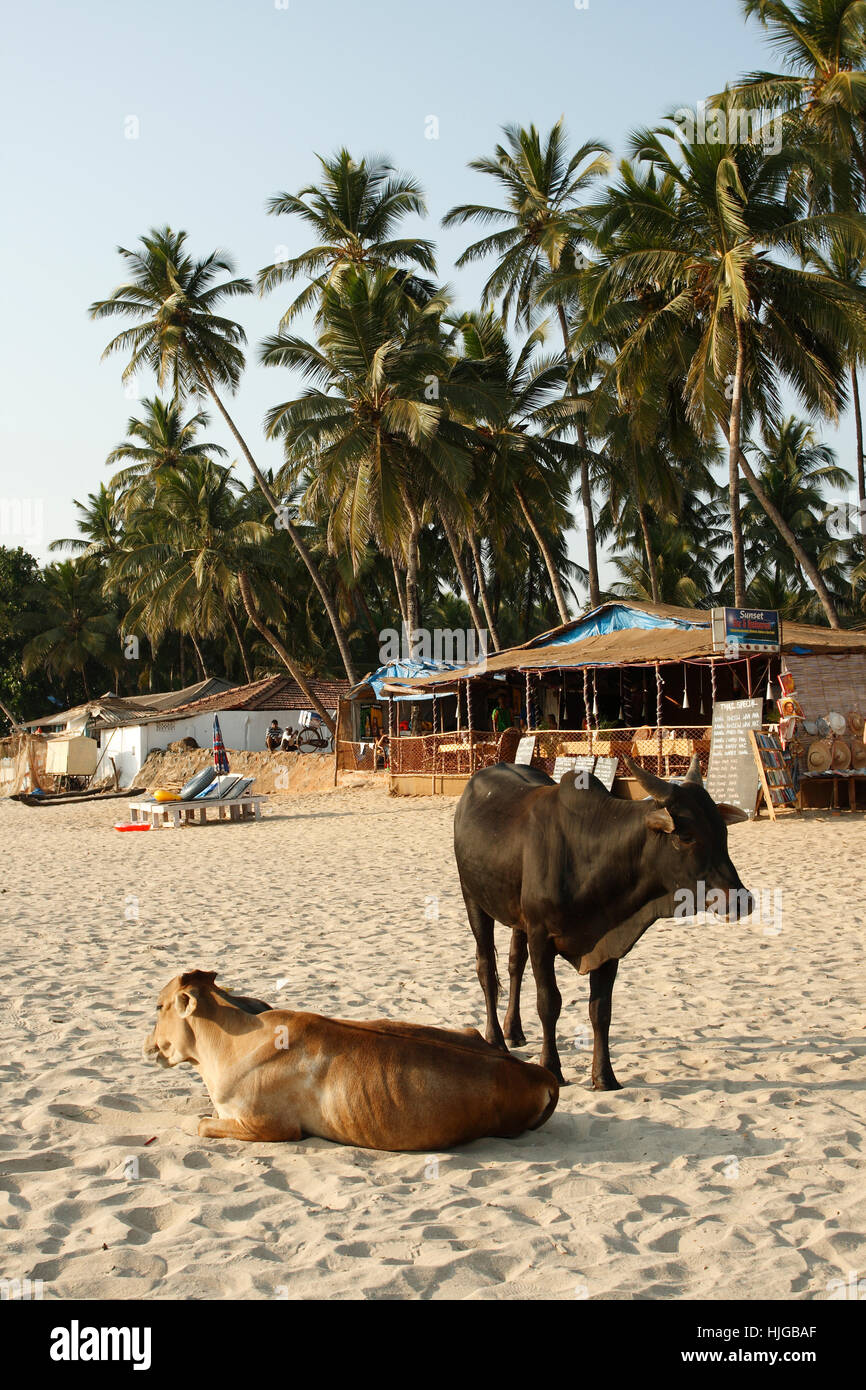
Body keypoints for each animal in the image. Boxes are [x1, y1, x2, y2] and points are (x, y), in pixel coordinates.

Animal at [143, 971, 559, 1151]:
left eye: (159, 1006)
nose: (147, 1043)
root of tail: (535, 1072)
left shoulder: (269, 1126)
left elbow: (201, 1124)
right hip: (471, 1031)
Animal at [453, 755, 752, 1089]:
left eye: (723, 833)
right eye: (686, 836)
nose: (741, 900)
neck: (589, 853)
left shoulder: (608, 943)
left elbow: (601, 1010)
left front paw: (605, 1076)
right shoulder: (541, 937)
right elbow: (549, 1003)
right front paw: (552, 1067)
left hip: (517, 918)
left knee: (514, 964)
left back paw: (514, 1031)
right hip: (473, 899)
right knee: (485, 967)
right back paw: (495, 1038)